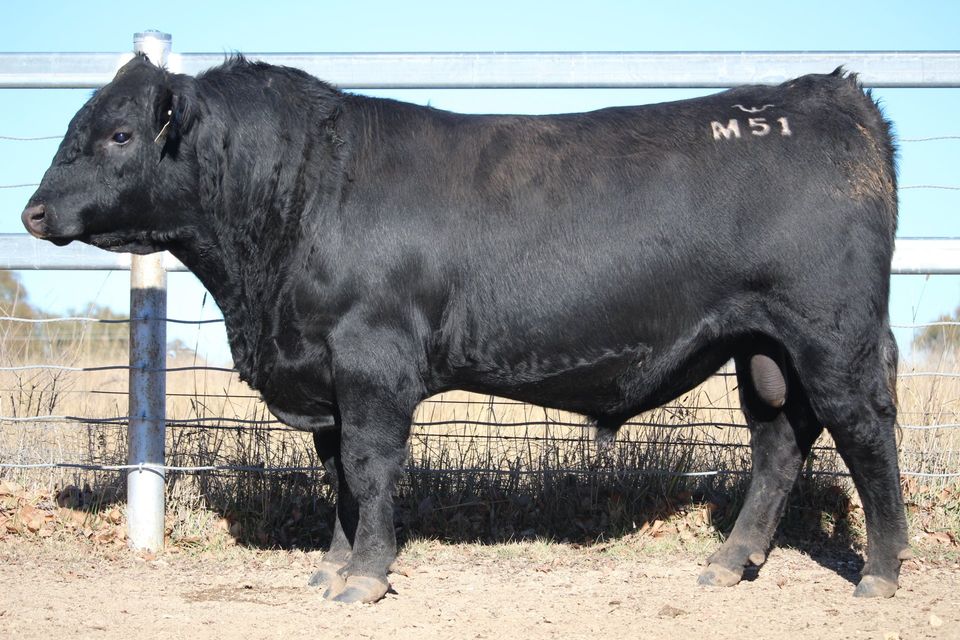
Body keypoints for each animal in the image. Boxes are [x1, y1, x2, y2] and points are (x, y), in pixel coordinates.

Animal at [22, 54, 910, 603]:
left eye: (120, 134)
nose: (32, 212)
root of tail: (833, 95)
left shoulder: (371, 361)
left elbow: (370, 469)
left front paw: (366, 577)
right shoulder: (326, 374)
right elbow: (337, 474)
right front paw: (332, 568)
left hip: (831, 335)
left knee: (865, 432)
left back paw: (884, 570)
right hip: (762, 349)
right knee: (780, 444)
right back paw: (729, 563)